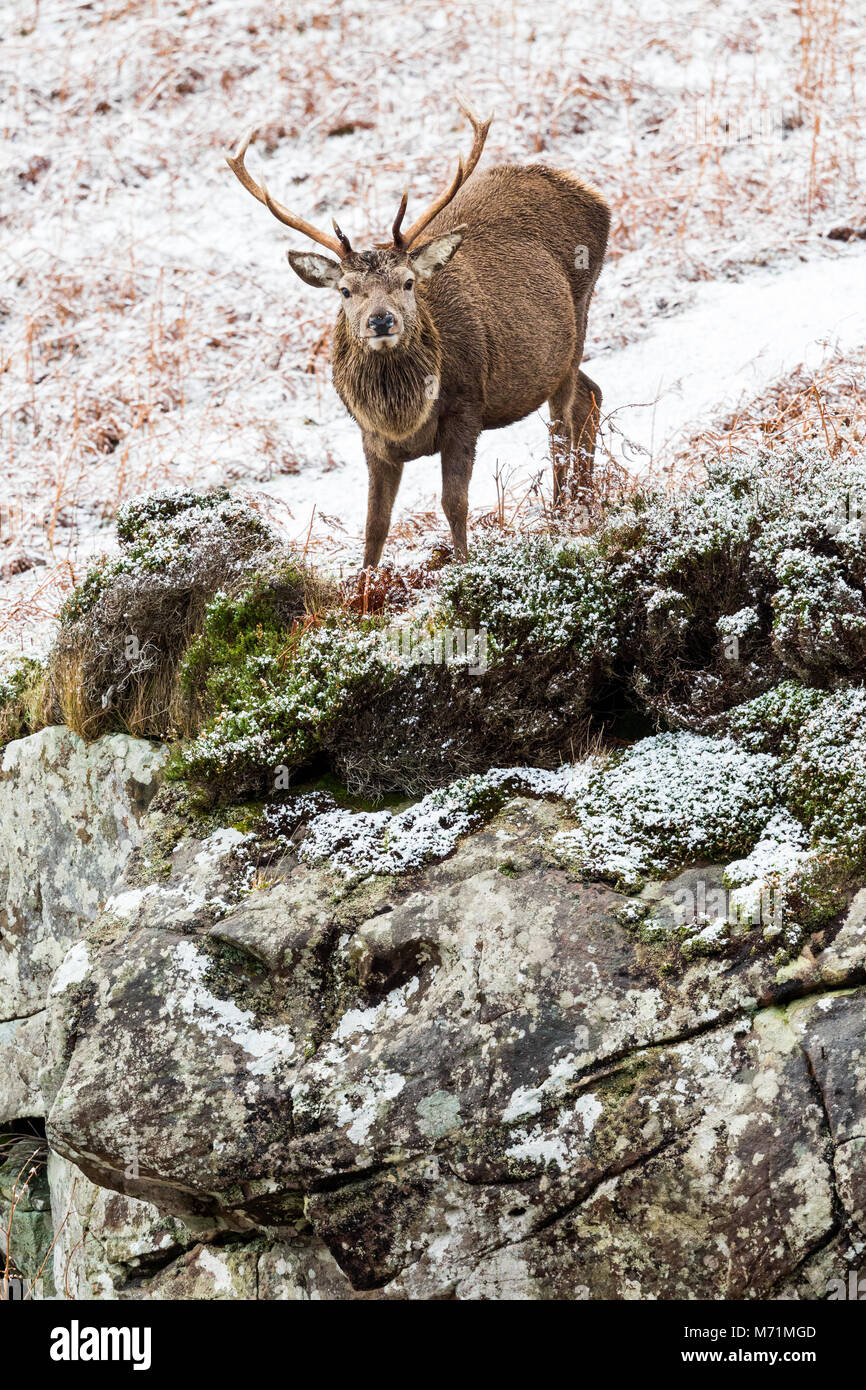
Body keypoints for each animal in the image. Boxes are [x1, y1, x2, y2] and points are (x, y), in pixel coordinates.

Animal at [227, 100, 609, 568]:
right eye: (345, 290)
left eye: (408, 283)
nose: (381, 321)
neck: (403, 417)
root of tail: (593, 196)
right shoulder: (370, 437)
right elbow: (374, 526)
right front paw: (366, 588)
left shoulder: (466, 408)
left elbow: (454, 503)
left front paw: (463, 568)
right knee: (591, 395)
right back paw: (582, 503)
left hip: (577, 323)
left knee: (562, 429)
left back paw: (562, 515)